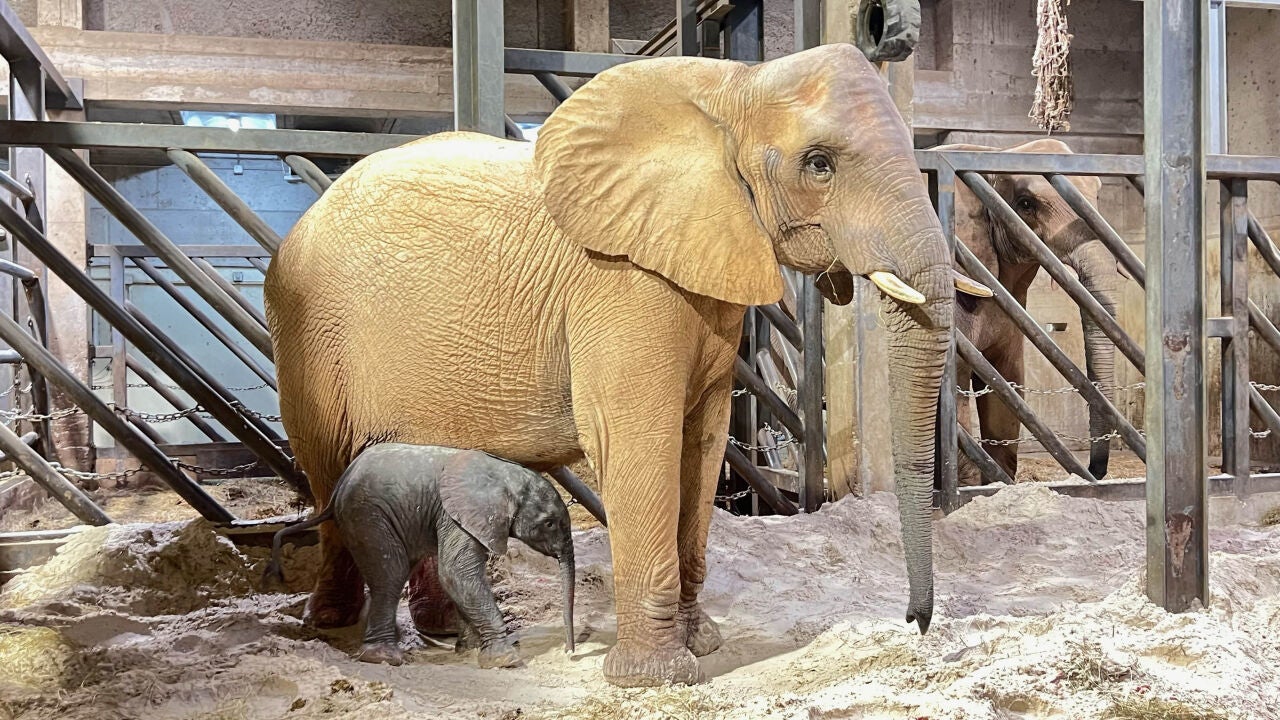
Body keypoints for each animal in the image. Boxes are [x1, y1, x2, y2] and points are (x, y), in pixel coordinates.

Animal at [265, 443, 575, 668]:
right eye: (550, 523)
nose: (570, 651)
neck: (507, 474)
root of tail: (338, 486)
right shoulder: (460, 515)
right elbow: (456, 573)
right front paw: (506, 659)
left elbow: (457, 578)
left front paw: (470, 650)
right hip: (368, 515)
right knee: (391, 574)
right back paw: (385, 658)